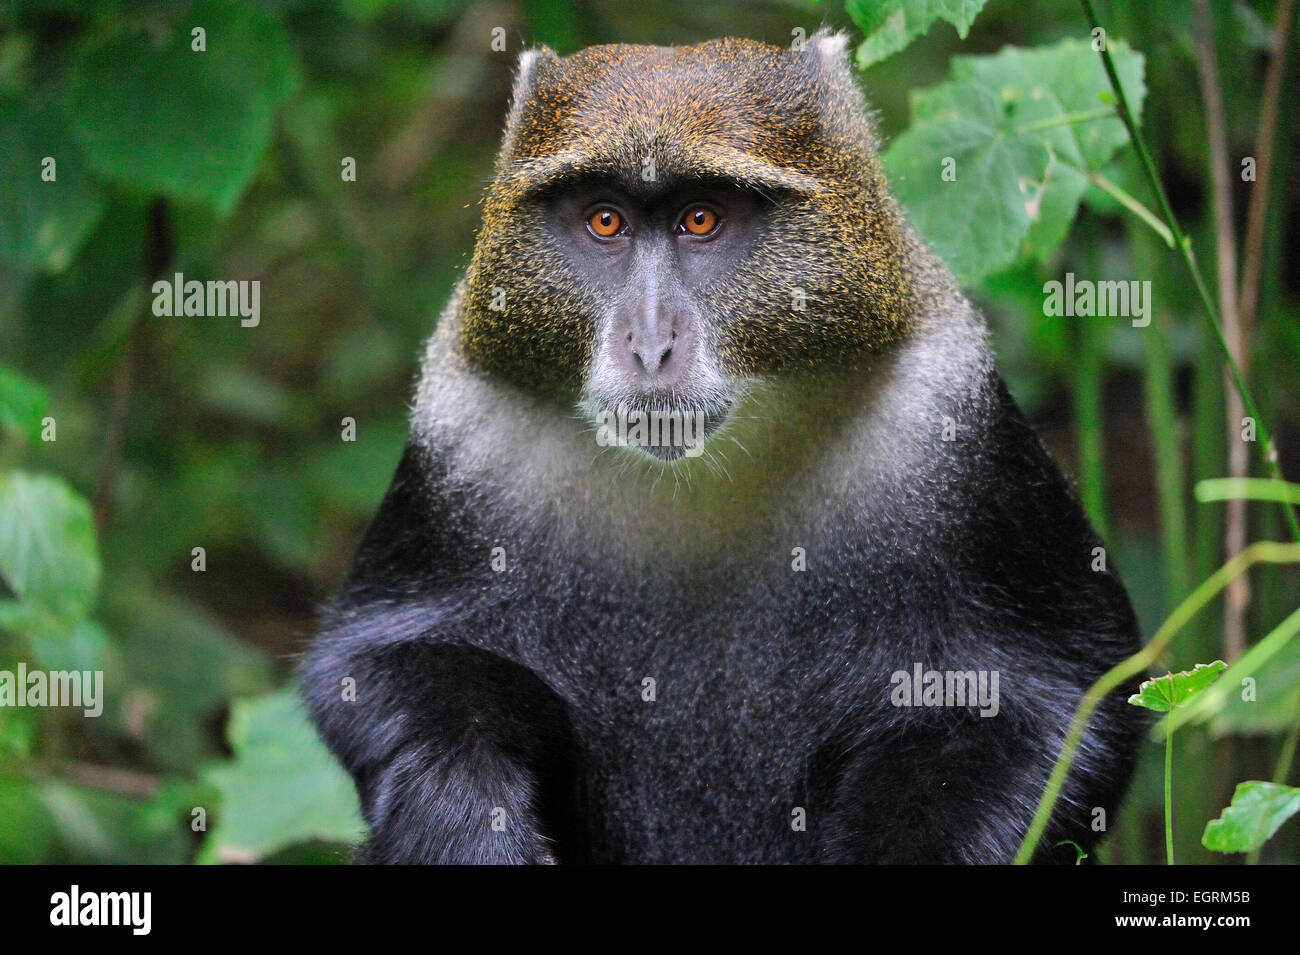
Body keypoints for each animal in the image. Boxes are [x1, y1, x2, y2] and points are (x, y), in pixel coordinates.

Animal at [302, 31, 1145, 864]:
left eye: (701, 219)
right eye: (604, 221)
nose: (649, 345)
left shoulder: (950, 420)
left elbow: (1057, 695)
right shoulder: (459, 431)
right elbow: (375, 660)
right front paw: (466, 821)